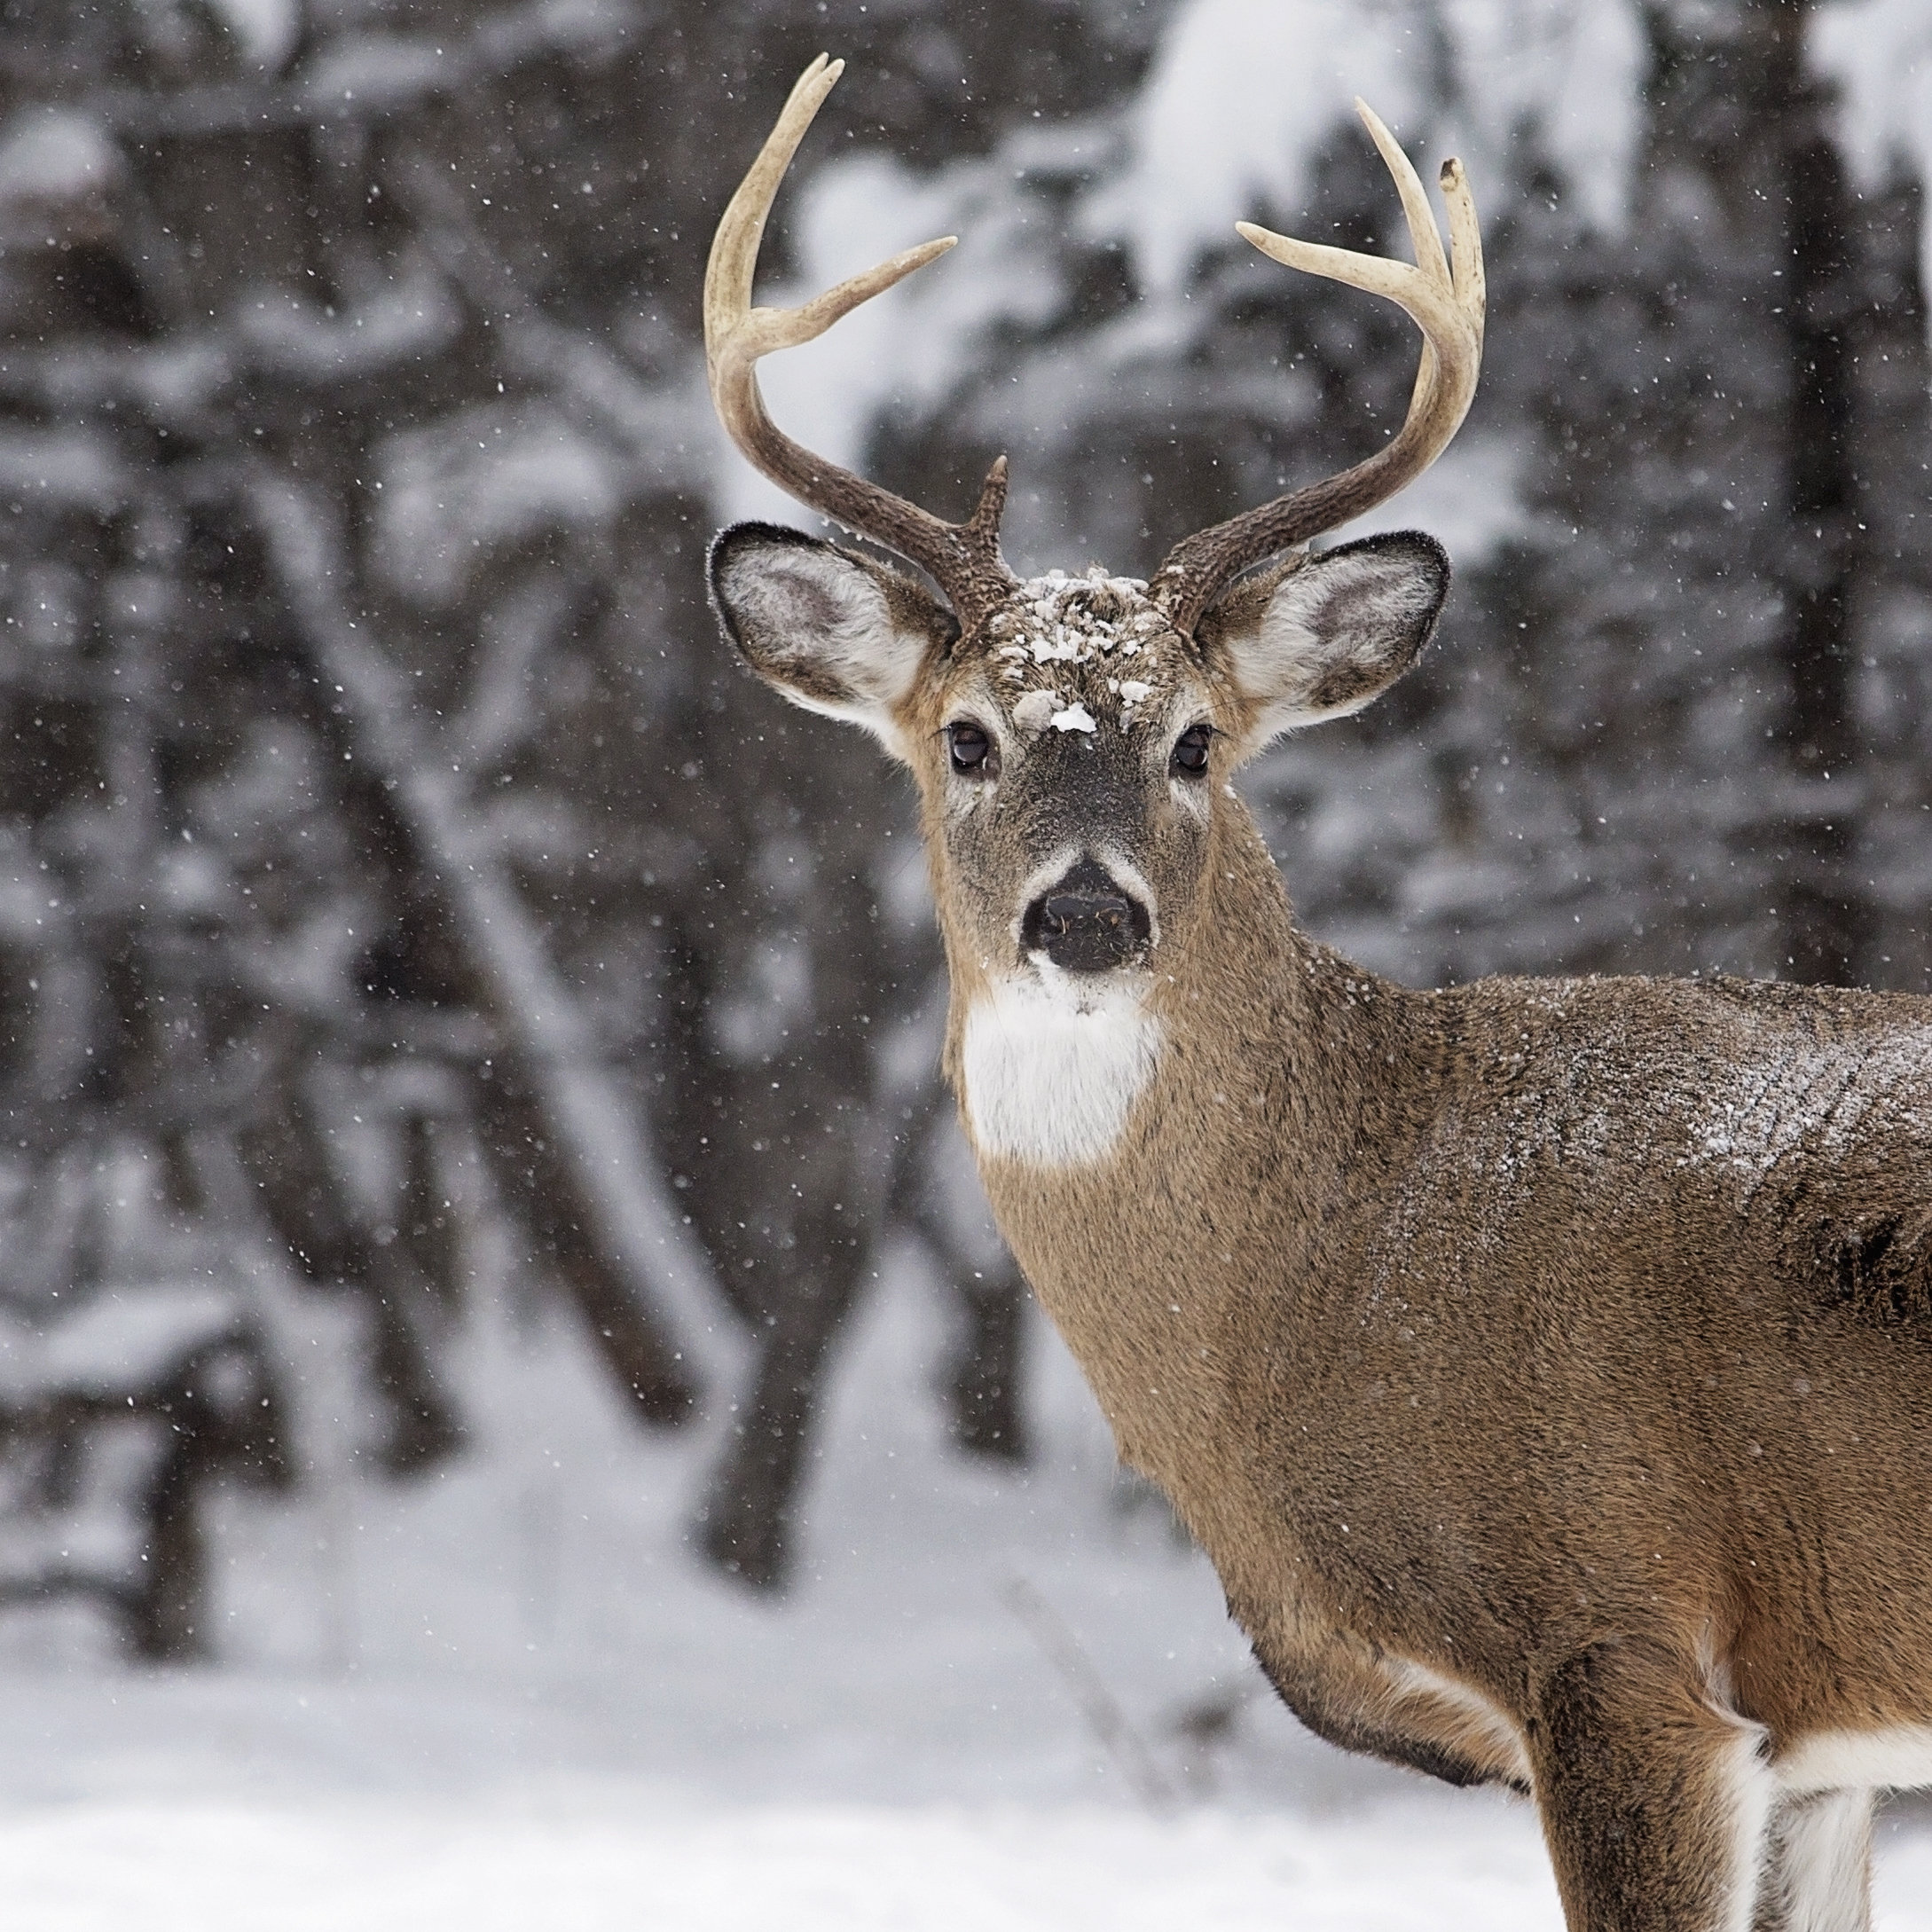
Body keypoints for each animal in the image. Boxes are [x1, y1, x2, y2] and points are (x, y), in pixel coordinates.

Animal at [701, 55, 1932, 1932]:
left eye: (1195, 741)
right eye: (967, 739)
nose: (1084, 912)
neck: (1333, 1270)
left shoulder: (1612, 1630)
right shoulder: (1814, 1737)